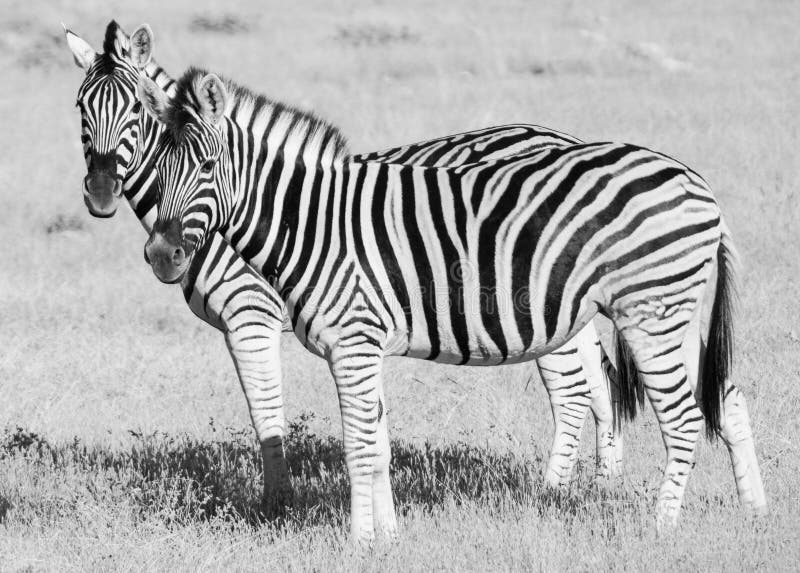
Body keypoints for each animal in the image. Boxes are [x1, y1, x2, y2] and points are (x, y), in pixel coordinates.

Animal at [65, 22, 631, 490]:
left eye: (136, 110)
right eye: (80, 108)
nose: (100, 193)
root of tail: (566, 136)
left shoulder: (250, 315)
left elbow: (266, 413)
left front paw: (278, 504)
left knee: (573, 389)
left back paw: (551, 491)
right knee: (601, 382)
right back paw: (606, 483)